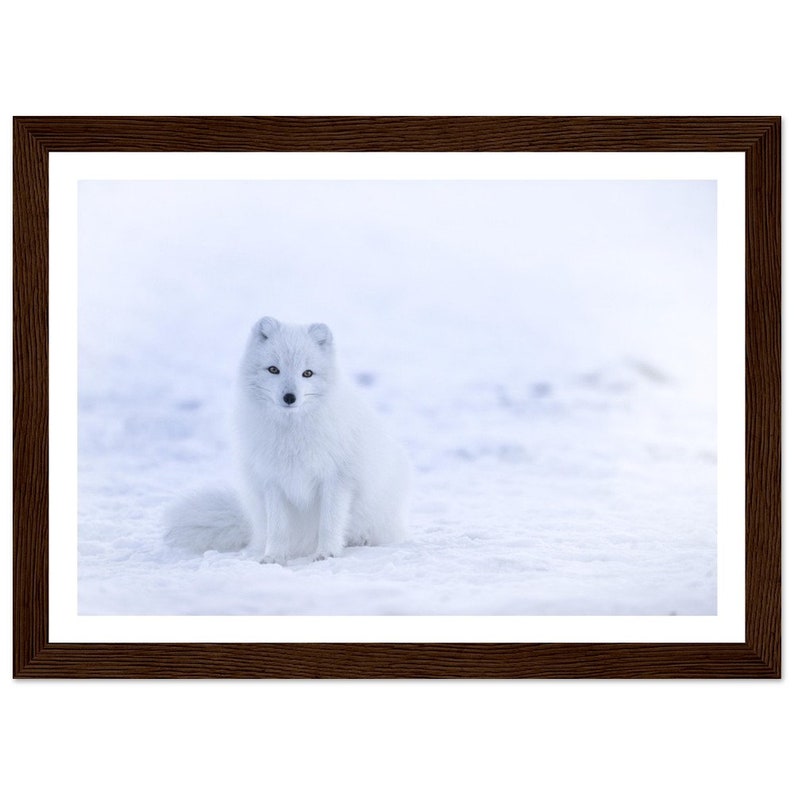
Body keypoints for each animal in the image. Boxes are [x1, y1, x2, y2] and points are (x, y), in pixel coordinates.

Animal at [164, 316, 411, 563]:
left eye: (307, 373)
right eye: (274, 369)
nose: (289, 397)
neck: (292, 435)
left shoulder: (336, 479)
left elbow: (329, 522)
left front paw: (326, 553)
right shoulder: (272, 481)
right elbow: (278, 528)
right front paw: (273, 557)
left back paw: (360, 539)